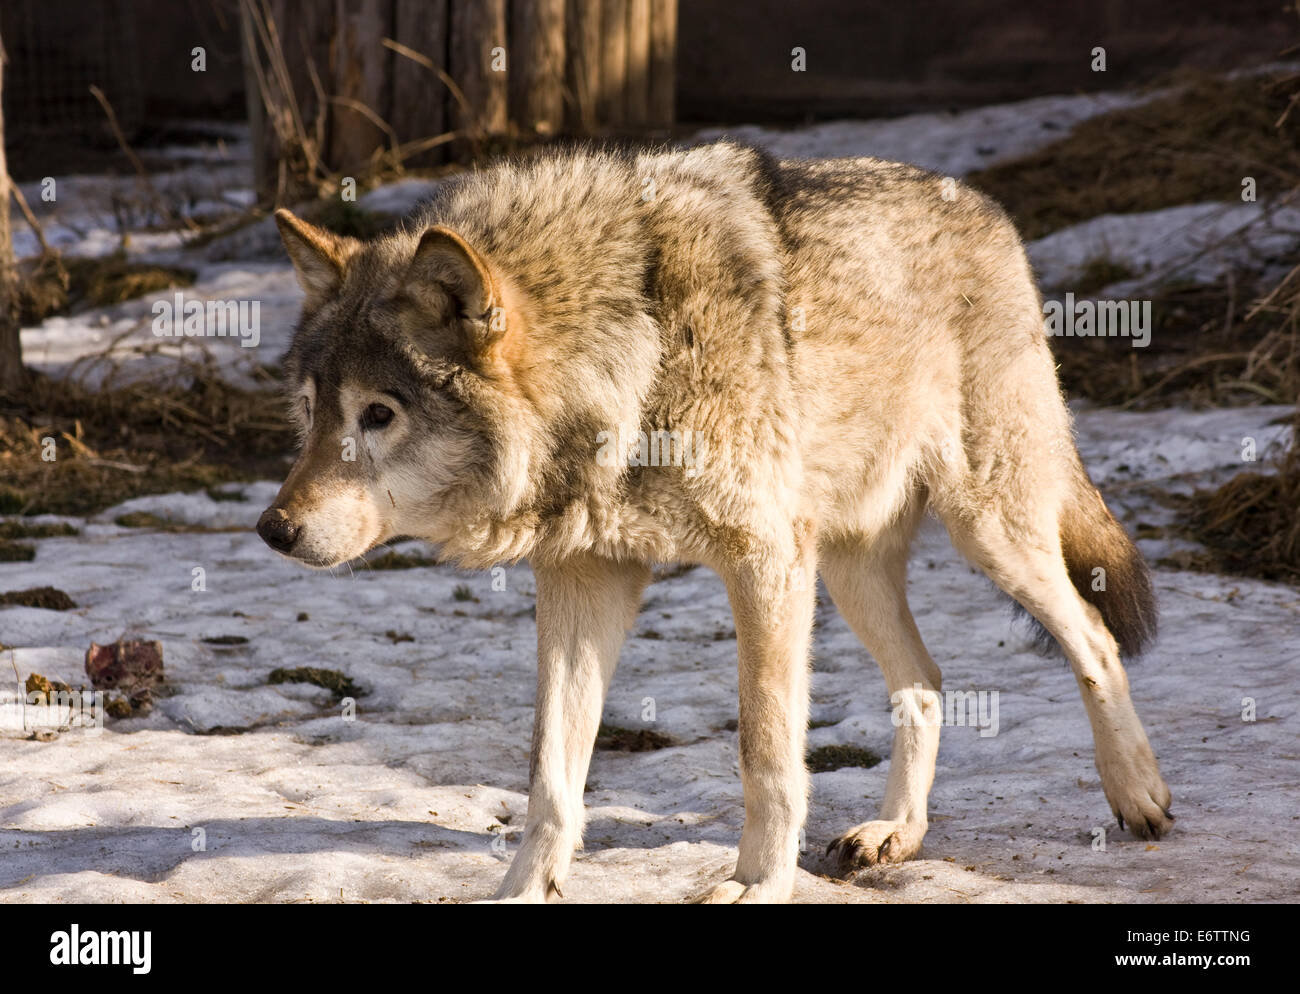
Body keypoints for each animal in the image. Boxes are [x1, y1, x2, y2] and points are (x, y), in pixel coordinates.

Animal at [258, 140, 1171, 903]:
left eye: (379, 415)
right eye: (310, 411)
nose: (273, 529)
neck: (629, 354)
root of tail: (987, 207)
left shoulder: (762, 561)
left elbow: (765, 753)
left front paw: (757, 884)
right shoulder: (587, 579)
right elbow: (552, 772)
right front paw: (523, 891)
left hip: (985, 533)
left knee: (1094, 638)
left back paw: (1139, 796)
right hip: (847, 568)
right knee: (926, 679)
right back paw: (896, 833)